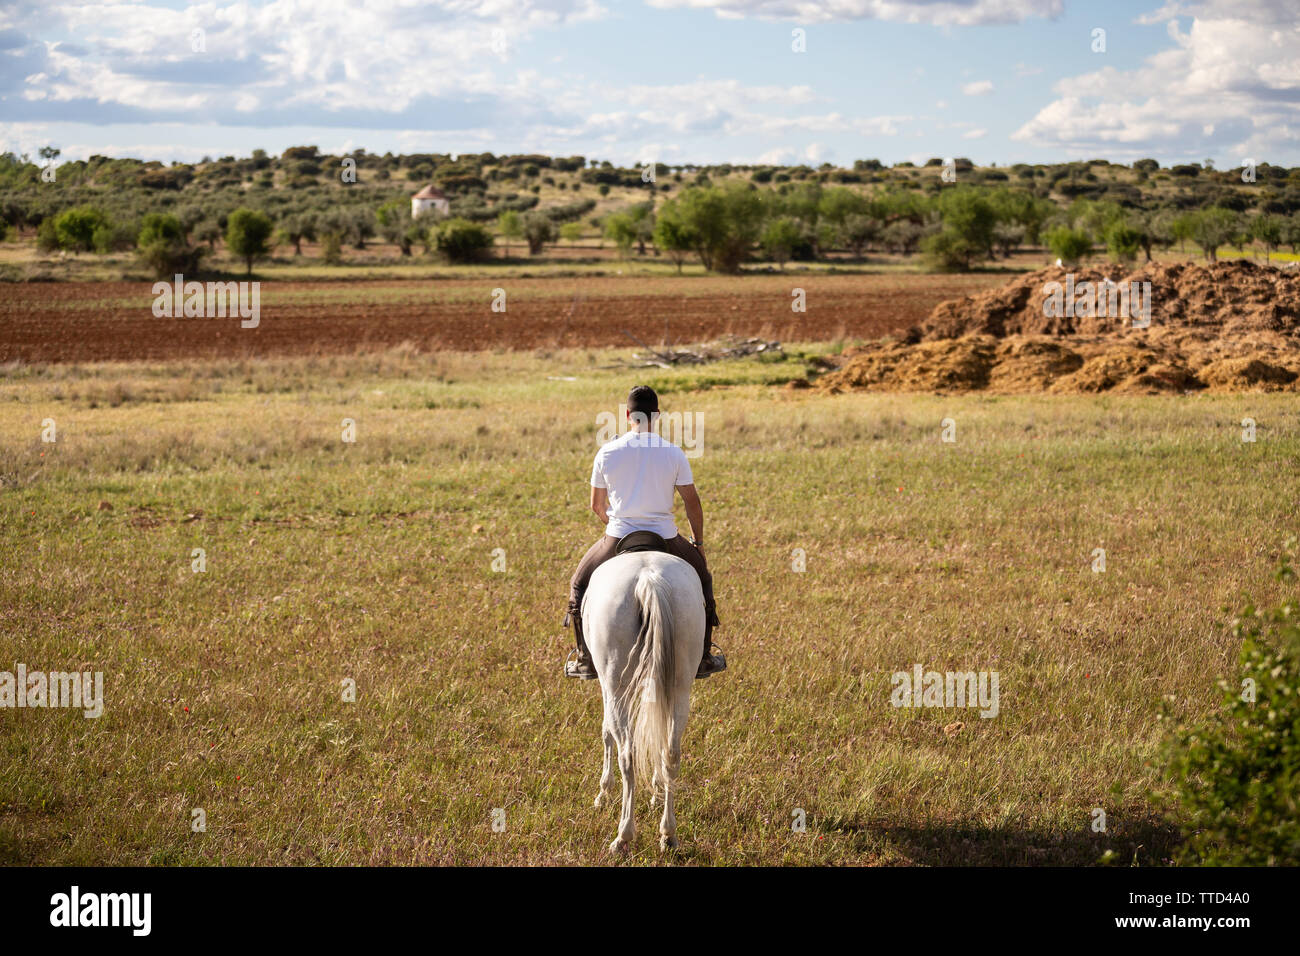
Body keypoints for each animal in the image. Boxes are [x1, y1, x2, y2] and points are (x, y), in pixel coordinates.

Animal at [583, 549, 706, 854]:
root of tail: (648, 580)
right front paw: (656, 791)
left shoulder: (607, 685)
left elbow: (605, 732)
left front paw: (603, 793)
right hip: (680, 685)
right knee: (671, 752)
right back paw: (668, 834)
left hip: (616, 682)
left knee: (627, 754)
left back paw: (623, 836)